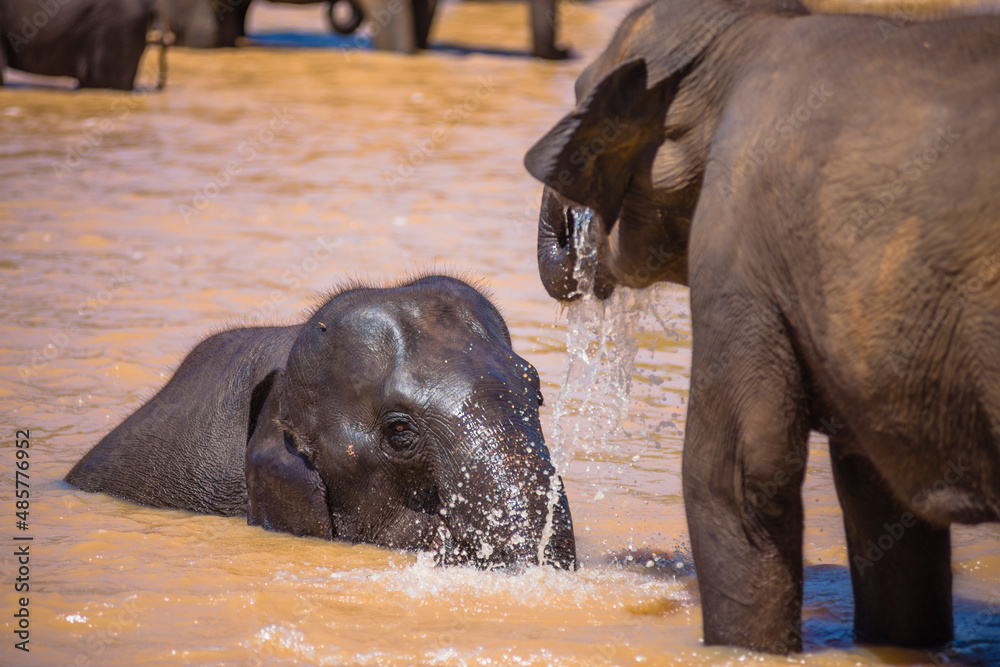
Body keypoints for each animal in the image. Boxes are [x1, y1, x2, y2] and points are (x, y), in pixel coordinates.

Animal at [524, 0, 1000, 653]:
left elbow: (732, 474)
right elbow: (877, 495)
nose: (567, 234)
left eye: (580, 94)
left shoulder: (736, 243)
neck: (743, 35)